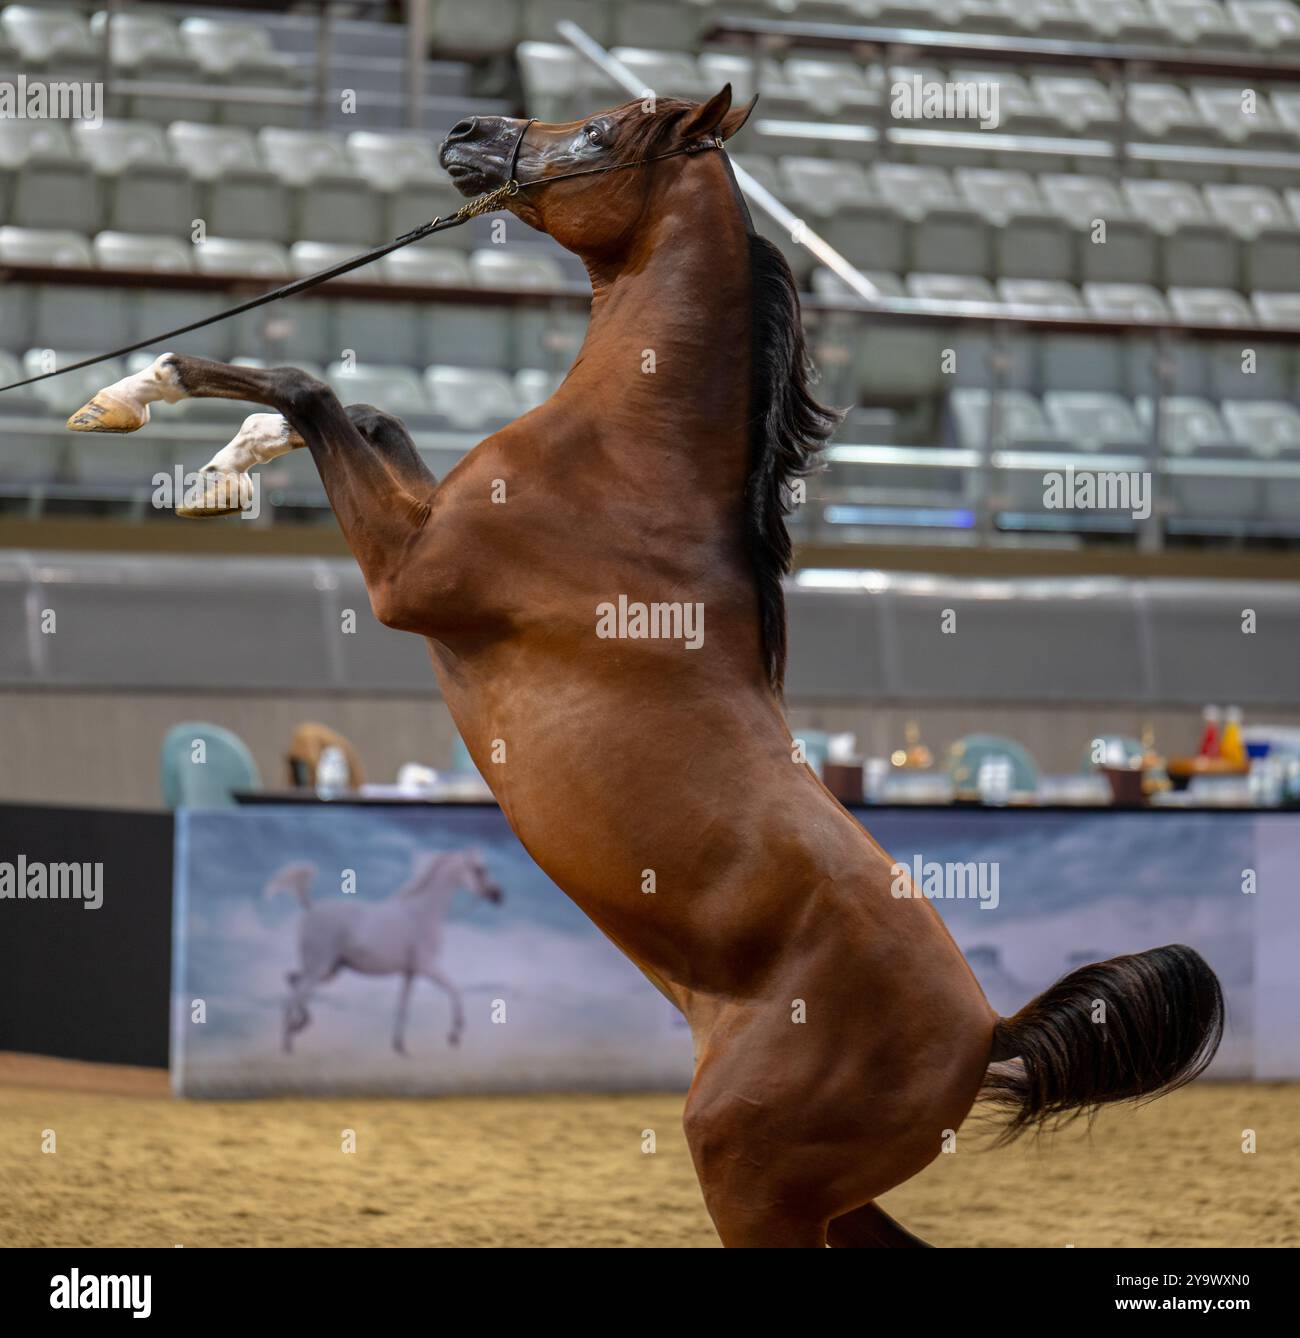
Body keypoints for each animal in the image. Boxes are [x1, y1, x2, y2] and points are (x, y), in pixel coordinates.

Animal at [266, 848, 503, 1054]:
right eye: (479, 869)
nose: (498, 895)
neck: (422, 913)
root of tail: (311, 907)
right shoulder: (427, 967)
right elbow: (455, 991)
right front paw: (454, 1035)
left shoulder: (410, 973)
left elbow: (403, 1007)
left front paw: (400, 1047)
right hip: (320, 968)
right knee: (295, 993)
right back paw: (290, 1040)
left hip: (328, 969)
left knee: (293, 982)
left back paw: (296, 1027)